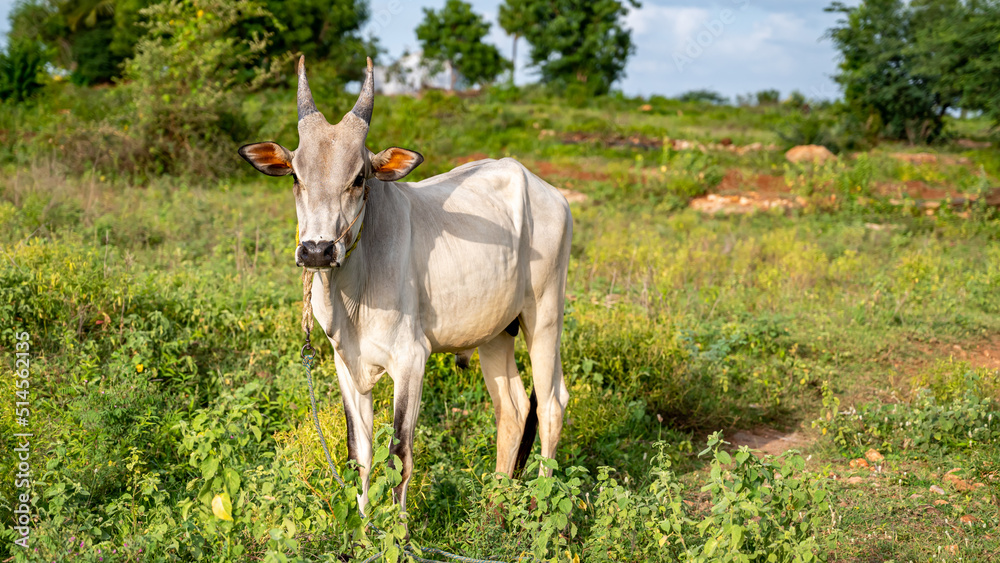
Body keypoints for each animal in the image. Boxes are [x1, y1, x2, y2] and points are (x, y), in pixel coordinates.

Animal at [238, 56, 572, 521]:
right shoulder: (345, 363)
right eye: (296, 178)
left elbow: (399, 454)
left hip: (545, 316)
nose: (317, 251)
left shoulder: (412, 360)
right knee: (514, 408)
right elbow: (358, 451)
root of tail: (548, 191)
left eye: (359, 178)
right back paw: (496, 503)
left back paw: (540, 508)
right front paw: (362, 527)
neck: (352, 293)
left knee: (552, 403)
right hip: (495, 333)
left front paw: (399, 529)